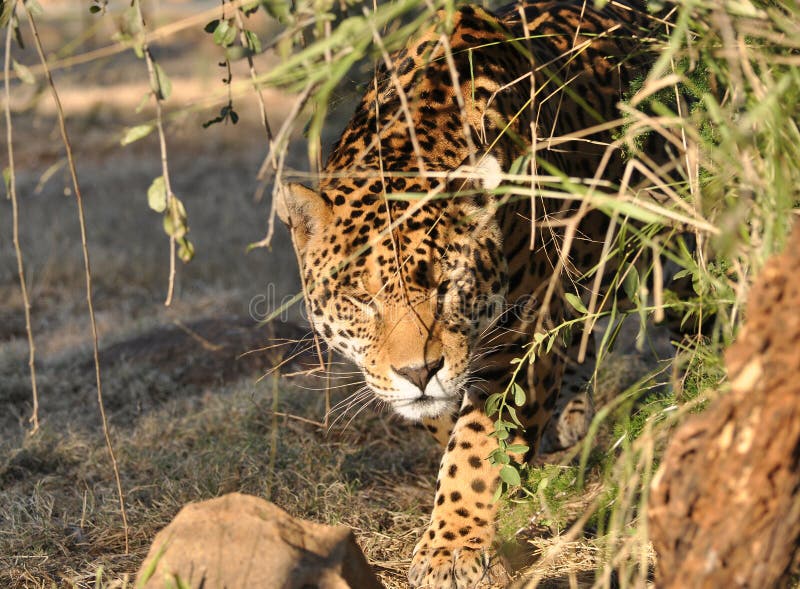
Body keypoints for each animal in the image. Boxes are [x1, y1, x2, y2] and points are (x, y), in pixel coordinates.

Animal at [276, 1, 665, 586]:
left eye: (447, 285)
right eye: (362, 299)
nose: (418, 372)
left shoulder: (522, 330)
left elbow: (478, 448)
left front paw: (453, 547)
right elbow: (446, 426)